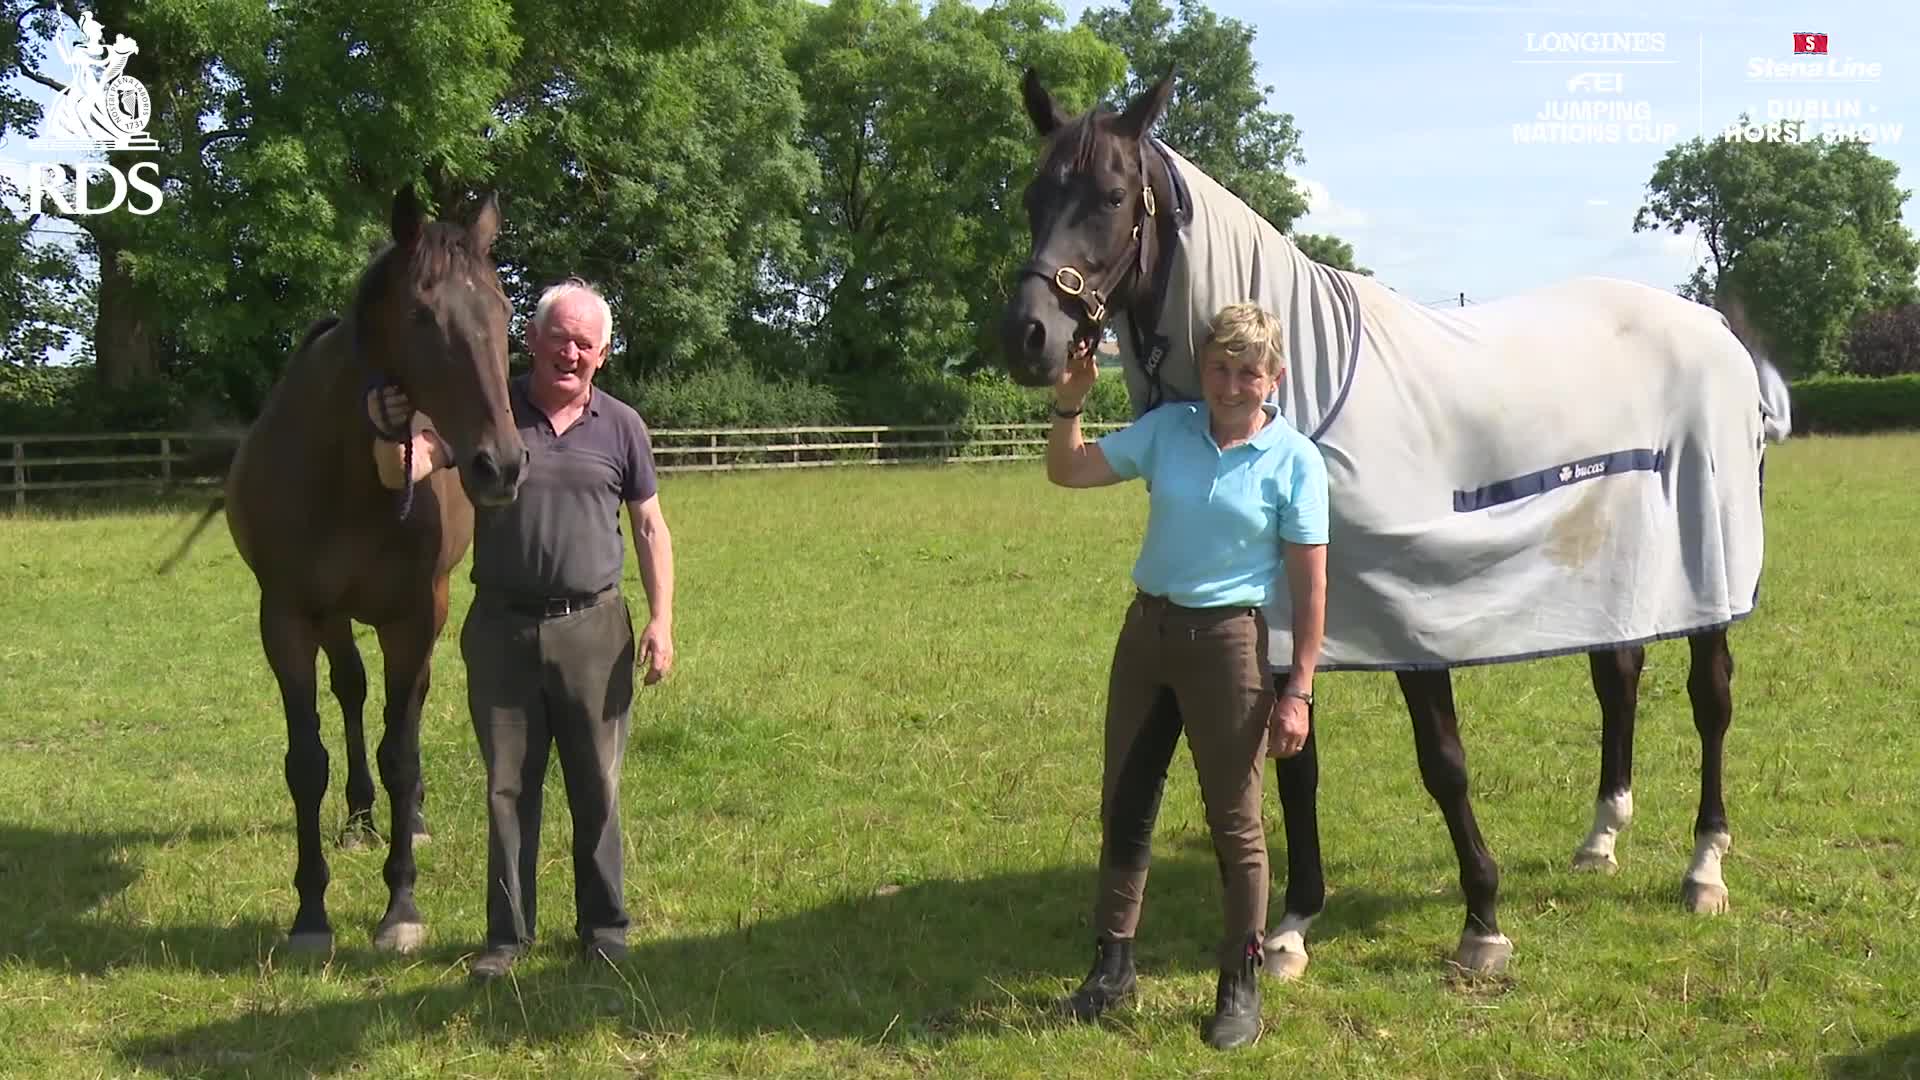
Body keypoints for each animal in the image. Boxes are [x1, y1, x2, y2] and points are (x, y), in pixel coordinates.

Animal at [175, 186, 529, 954]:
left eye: (502, 310)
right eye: (423, 315)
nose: (501, 464)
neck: (348, 471)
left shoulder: (413, 616)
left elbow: (402, 750)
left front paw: (401, 907)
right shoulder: (286, 616)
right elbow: (307, 761)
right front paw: (311, 914)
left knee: (409, 705)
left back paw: (411, 819)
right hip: (335, 618)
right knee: (352, 692)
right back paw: (361, 820)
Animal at [998, 69, 1792, 977]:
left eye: (1111, 195)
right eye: (1032, 196)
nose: (1028, 336)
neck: (1309, 384)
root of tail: (1716, 328)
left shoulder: (1417, 611)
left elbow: (1442, 762)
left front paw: (1483, 920)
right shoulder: (1293, 618)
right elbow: (1296, 766)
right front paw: (1293, 927)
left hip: (1708, 573)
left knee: (1711, 700)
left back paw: (1704, 868)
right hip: (1614, 572)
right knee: (1618, 676)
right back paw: (1601, 840)